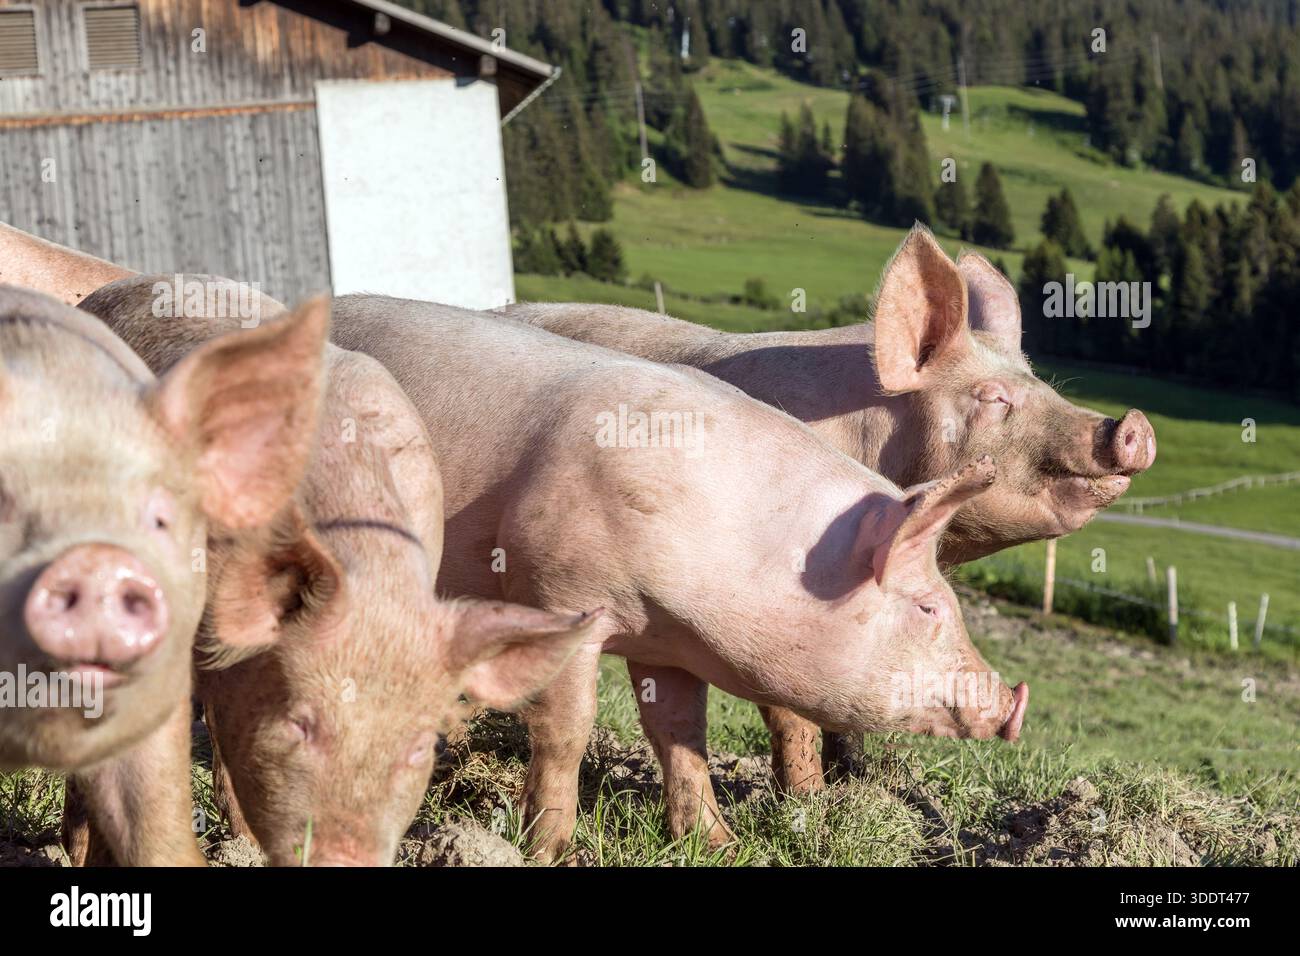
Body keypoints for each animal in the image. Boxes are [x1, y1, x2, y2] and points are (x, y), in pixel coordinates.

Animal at [329, 295, 1029, 863]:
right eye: (930, 608)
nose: (1012, 703)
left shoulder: (666, 644)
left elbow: (681, 736)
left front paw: (720, 845)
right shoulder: (556, 591)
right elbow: (567, 728)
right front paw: (548, 852)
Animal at [499, 224, 1156, 791]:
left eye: (1045, 386)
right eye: (993, 398)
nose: (1131, 424)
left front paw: (858, 783)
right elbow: (790, 707)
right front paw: (809, 801)